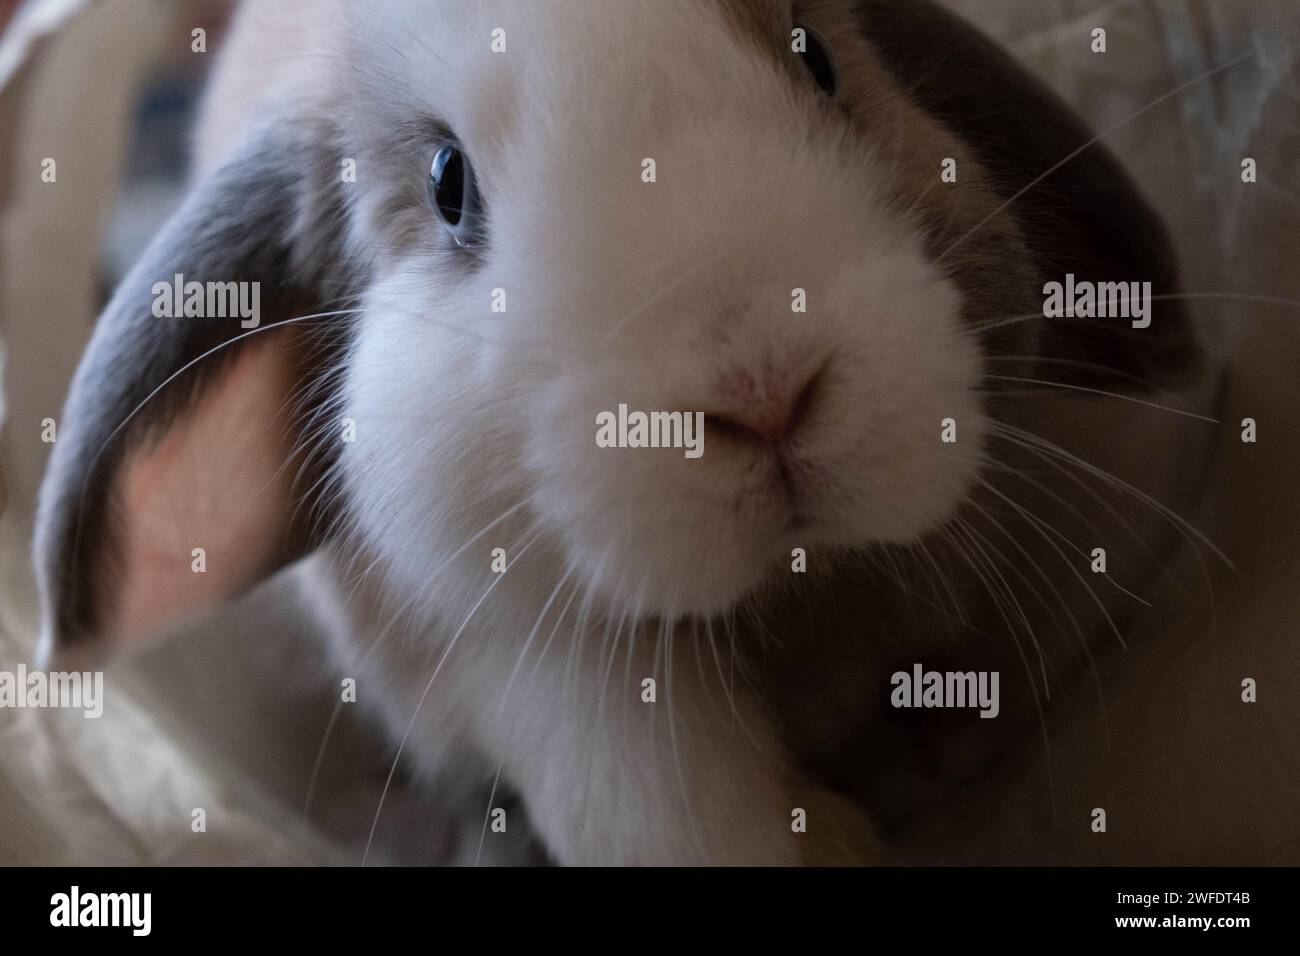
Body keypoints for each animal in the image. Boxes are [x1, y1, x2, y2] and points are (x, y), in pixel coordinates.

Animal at [33, 0, 1219, 865]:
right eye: (448, 186)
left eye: (818, 57)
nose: (766, 395)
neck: (792, 594)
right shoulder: (538, 672)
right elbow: (674, 809)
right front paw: (831, 841)